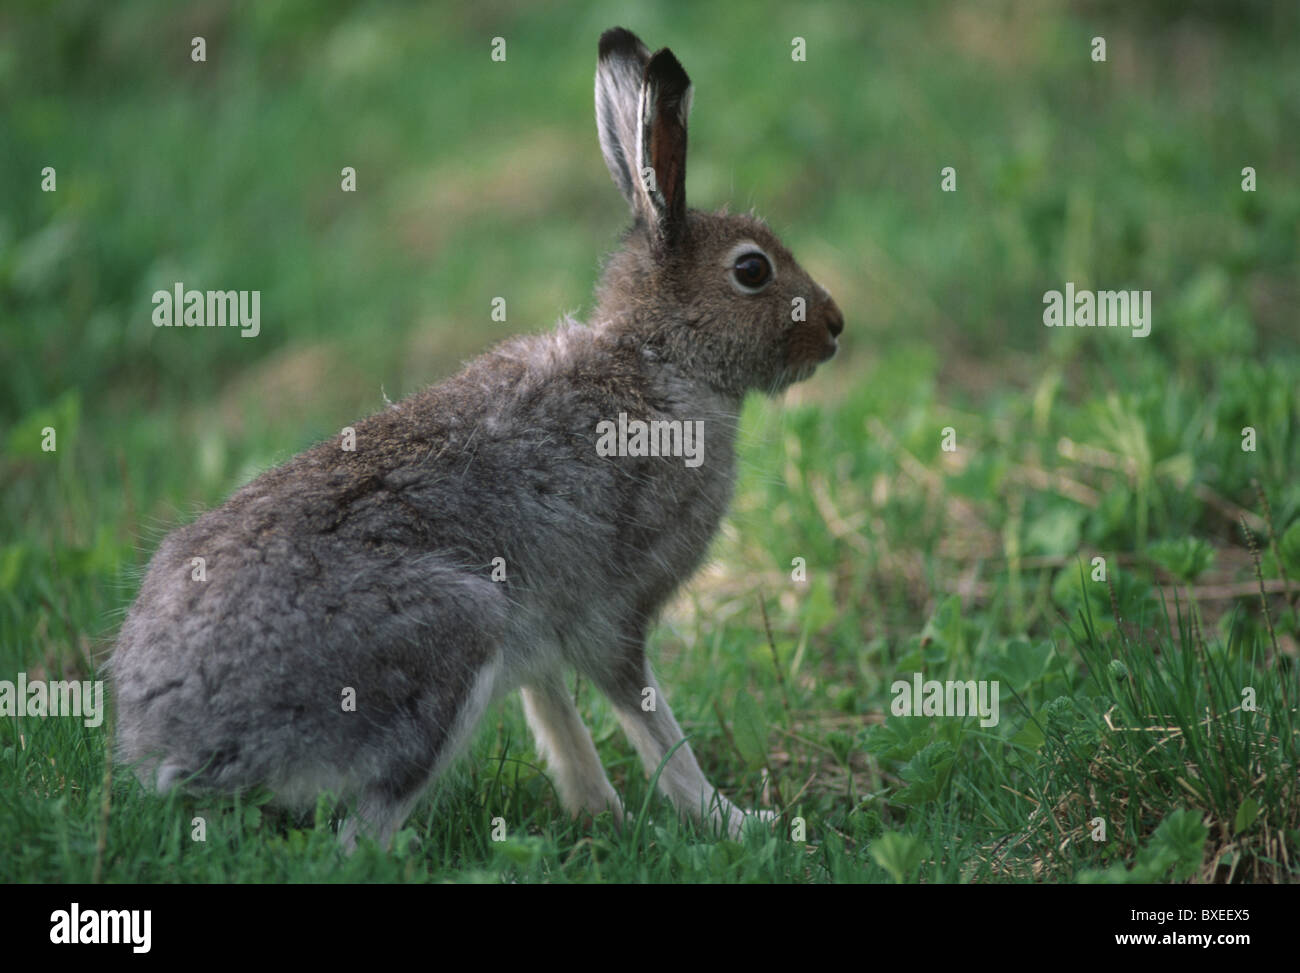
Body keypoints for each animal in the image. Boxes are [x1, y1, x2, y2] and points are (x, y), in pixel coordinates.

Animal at [109, 26, 844, 850]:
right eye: (753, 270)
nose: (835, 326)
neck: (658, 357)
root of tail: (174, 743)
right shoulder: (612, 613)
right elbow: (652, 721)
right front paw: (736, 821)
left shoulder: (543, 632)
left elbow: (554, 709)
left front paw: (600, 813)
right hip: (450, 639)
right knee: (361, 835)